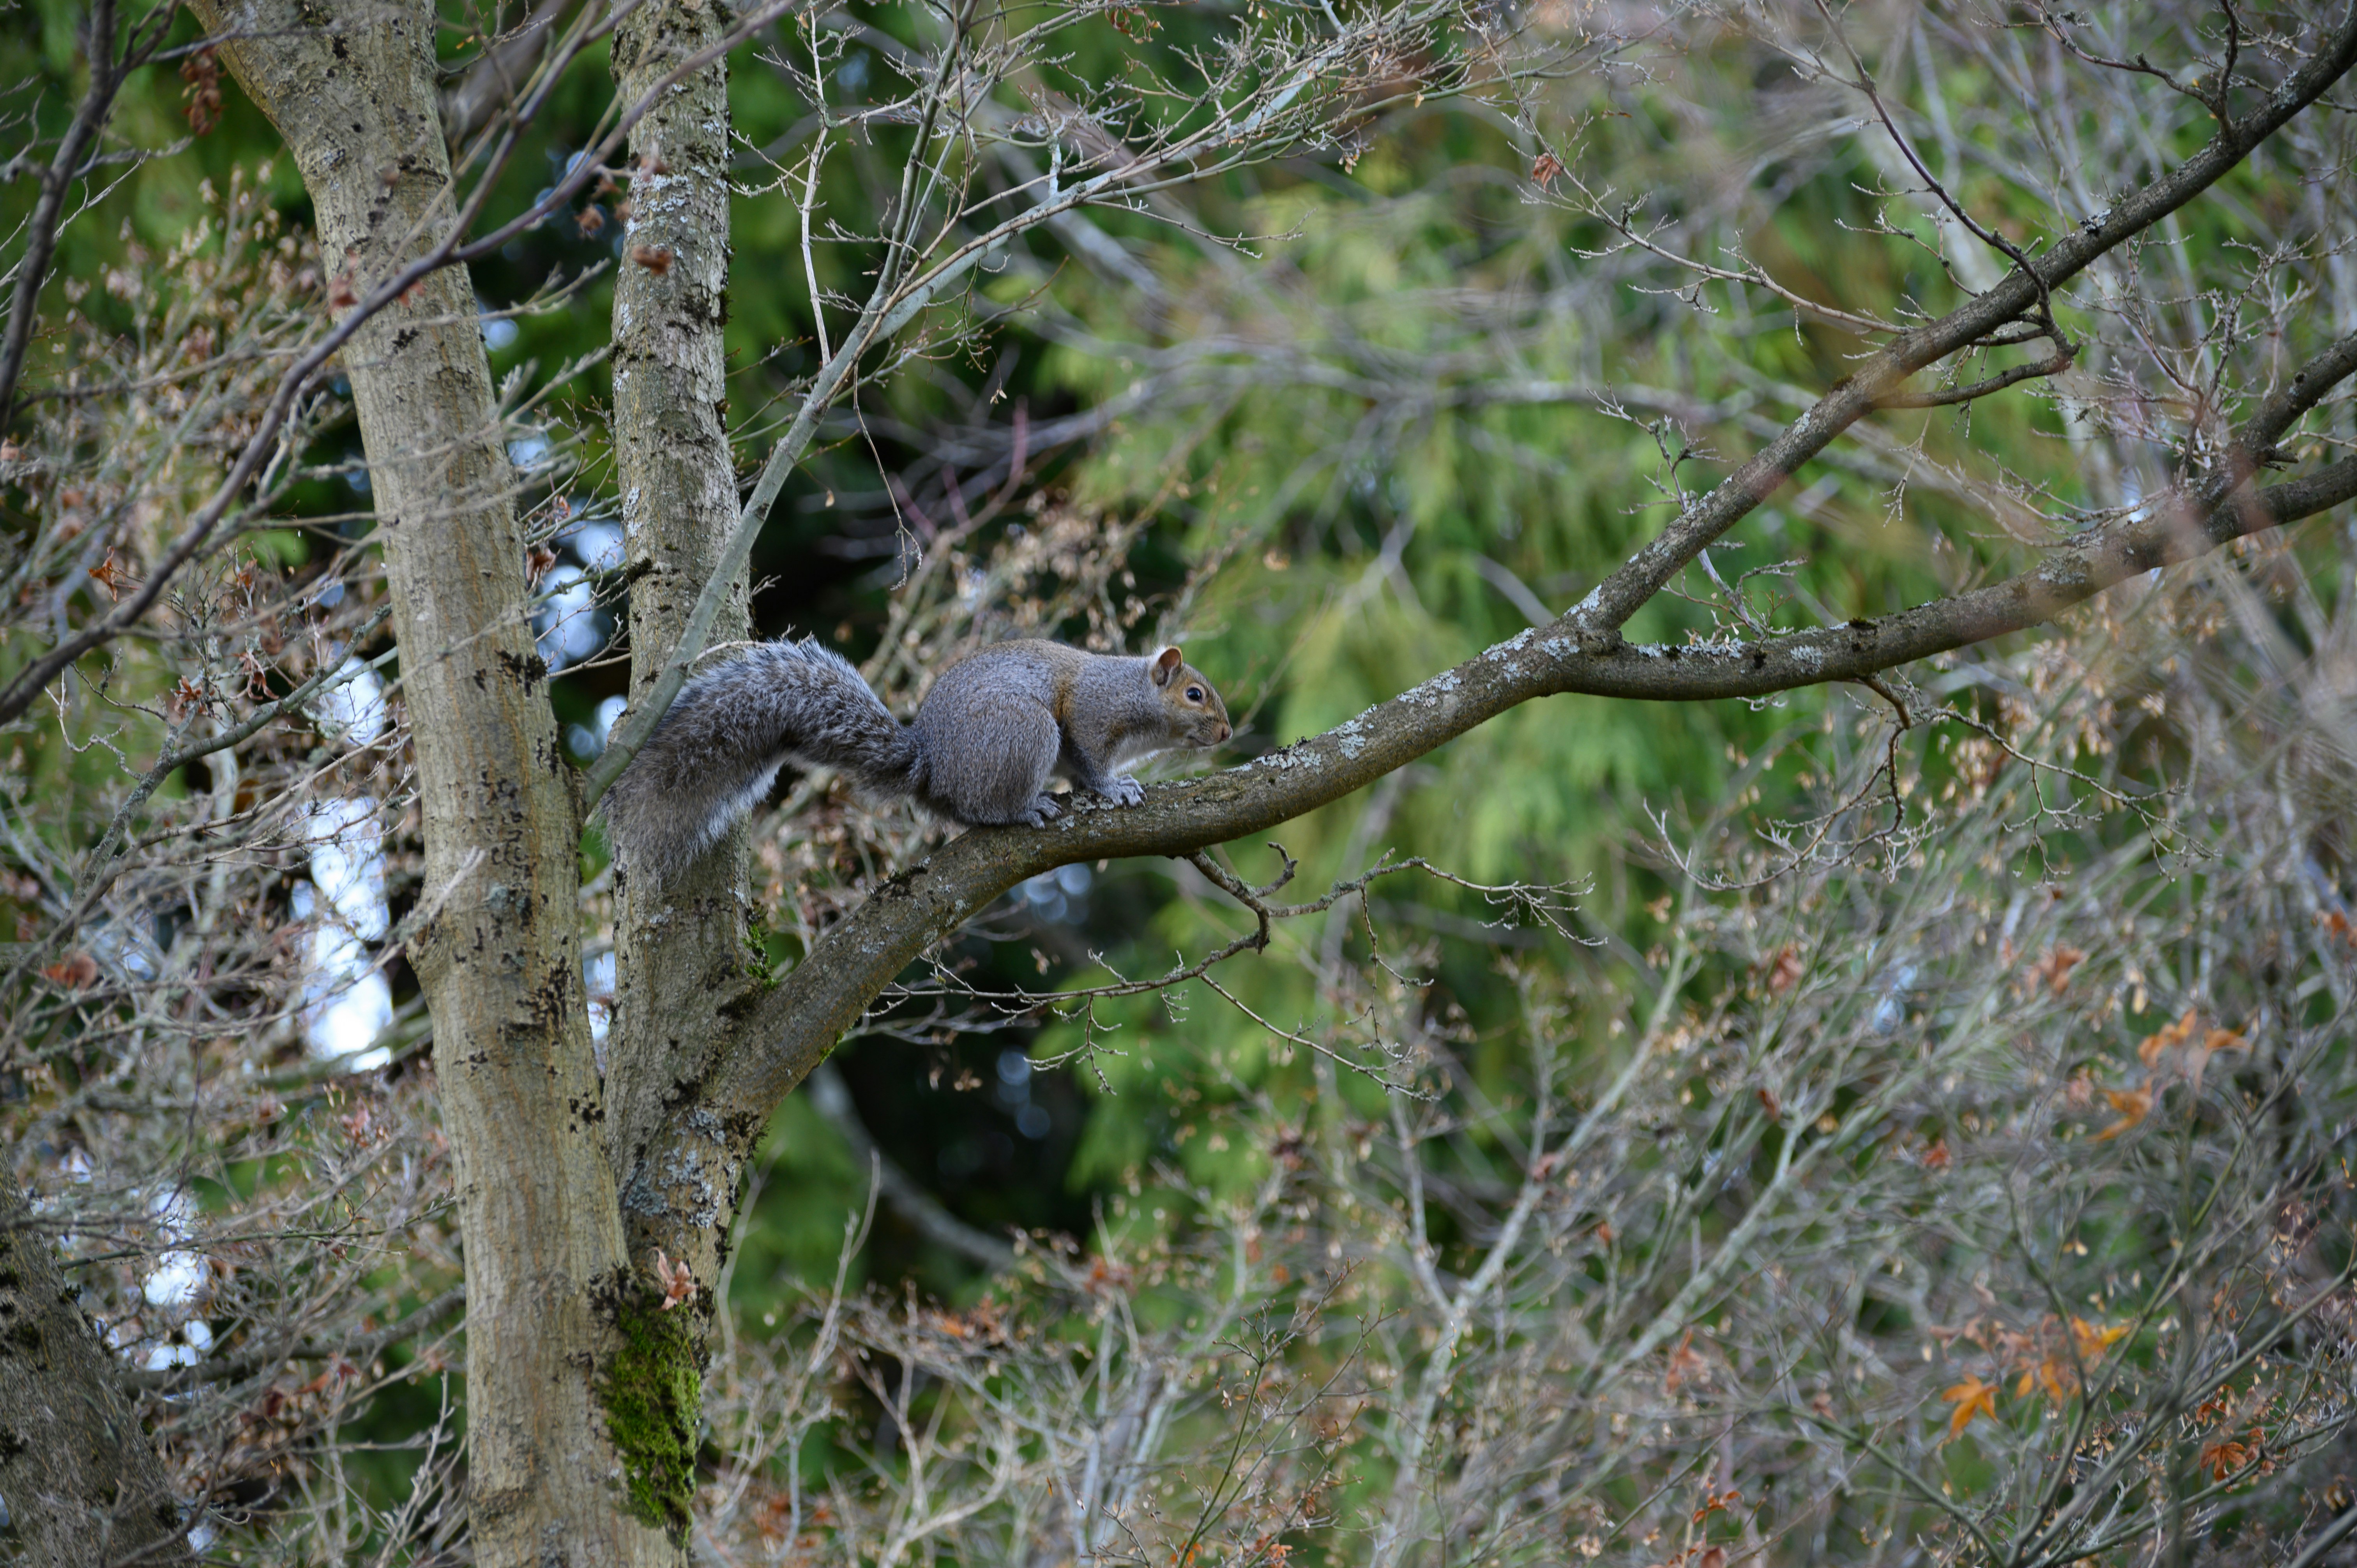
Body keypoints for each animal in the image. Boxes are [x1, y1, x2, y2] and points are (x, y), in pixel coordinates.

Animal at [597, 636, 1232, 886]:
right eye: (1195, 694)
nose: (1228, 732)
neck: (1135, 694)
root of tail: (932, 765)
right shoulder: (1090, 716)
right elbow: (1090, 763)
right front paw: (1116, 788)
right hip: (1023, 733)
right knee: (987, 808)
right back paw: (1027, 809)